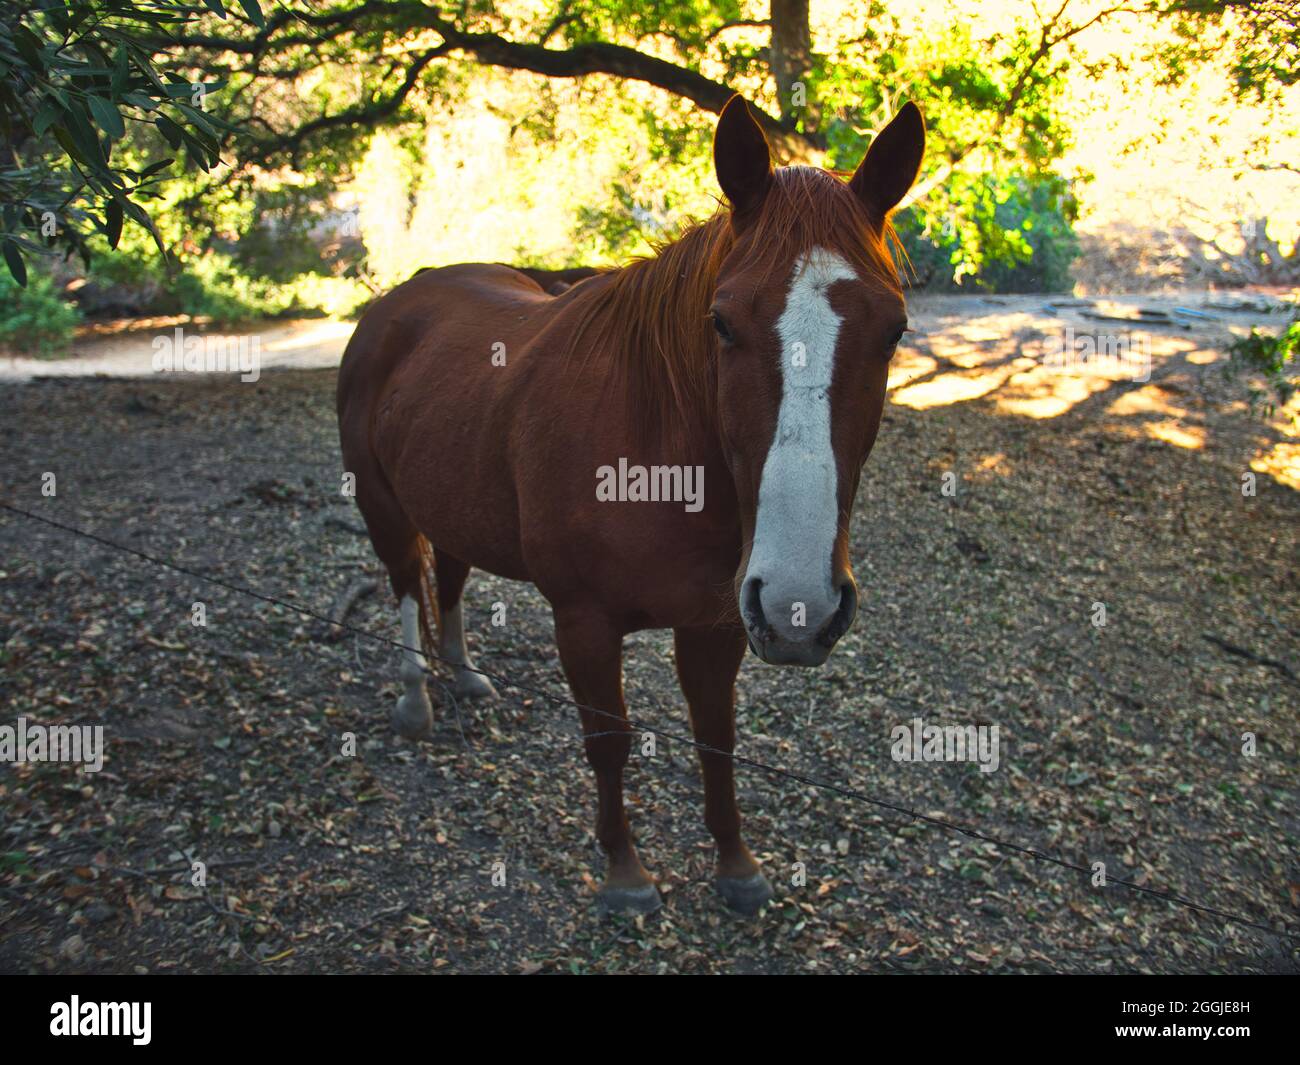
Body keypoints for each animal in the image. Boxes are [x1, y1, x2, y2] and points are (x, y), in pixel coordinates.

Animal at [336, 95, 925, 915]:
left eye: (894, 330)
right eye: (722, 322)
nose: (798, 606)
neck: (653, 462)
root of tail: (397, 300)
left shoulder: (717, 624)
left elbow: (716, 738)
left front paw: (736, 865)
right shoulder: (583, 621)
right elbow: (608, 740)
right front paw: (624, 872)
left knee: (447, 578)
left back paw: (463, 673)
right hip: (383, 507)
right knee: (402, 586)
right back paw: (417, 697)